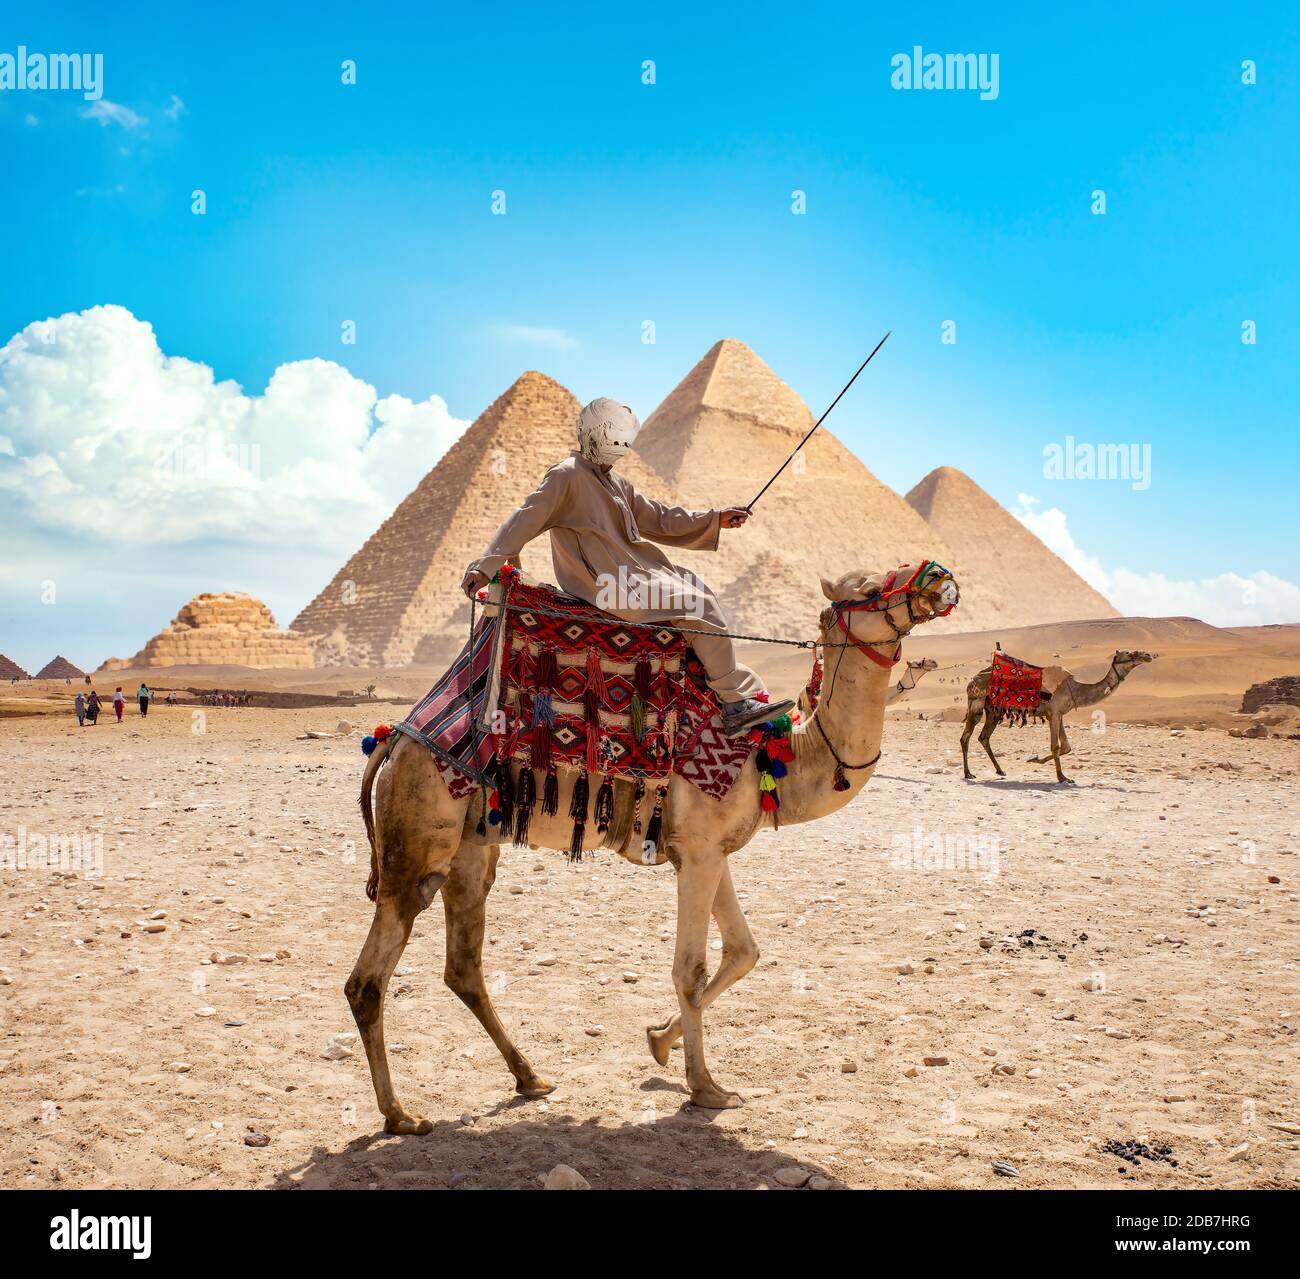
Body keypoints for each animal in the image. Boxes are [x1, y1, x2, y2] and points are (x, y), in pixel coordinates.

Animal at [345, 562, 959, 1131]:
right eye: (871, 585)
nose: (939, 579)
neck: (774, 757)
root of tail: (392, 743)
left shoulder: (707, 850)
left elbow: (744, 952)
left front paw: (660, 1042)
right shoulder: (702, 850)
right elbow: (690, 968)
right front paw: (706, 1086)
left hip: (472, 850)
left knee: (463, 967)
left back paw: (530, 1077)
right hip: (417, 843)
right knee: (368, 982)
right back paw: (400, 1115)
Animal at [960, 649, 1154, 784]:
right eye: (1128, 652)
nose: (1148, 655)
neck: (1075, 689)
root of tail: (973, 679)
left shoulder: (1059, 714)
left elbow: (1066, 746)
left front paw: (1035, 759)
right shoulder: (1053, 713)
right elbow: (1055, 746)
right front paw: (1061, 777)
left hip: (994, 711)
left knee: (983, 737)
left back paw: (1000, 770)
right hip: (977, 703)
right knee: (966, 737)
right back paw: (968, 773)